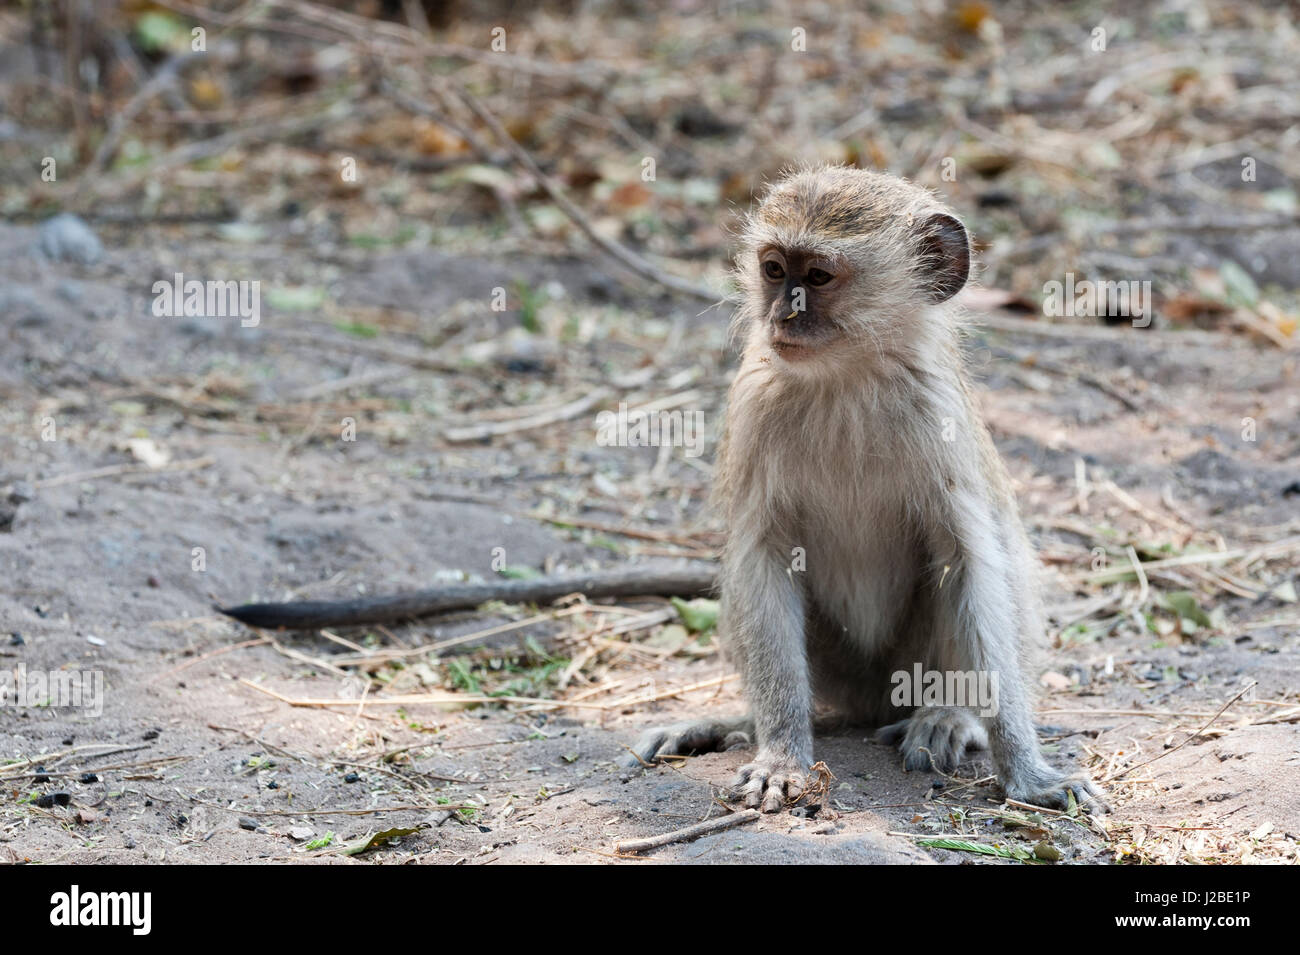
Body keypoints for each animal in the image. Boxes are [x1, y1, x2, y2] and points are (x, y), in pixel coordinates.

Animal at [624, 165, 1103, 814]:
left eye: (818, 277)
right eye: (774, 270)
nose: (781, 318)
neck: (845, 377)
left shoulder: (935, 409)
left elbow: (970, 562)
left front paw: (1026, 769)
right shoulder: (755, 399)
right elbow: (762, 557)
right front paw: (781, 754)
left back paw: (951, 716)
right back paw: (746, 723)